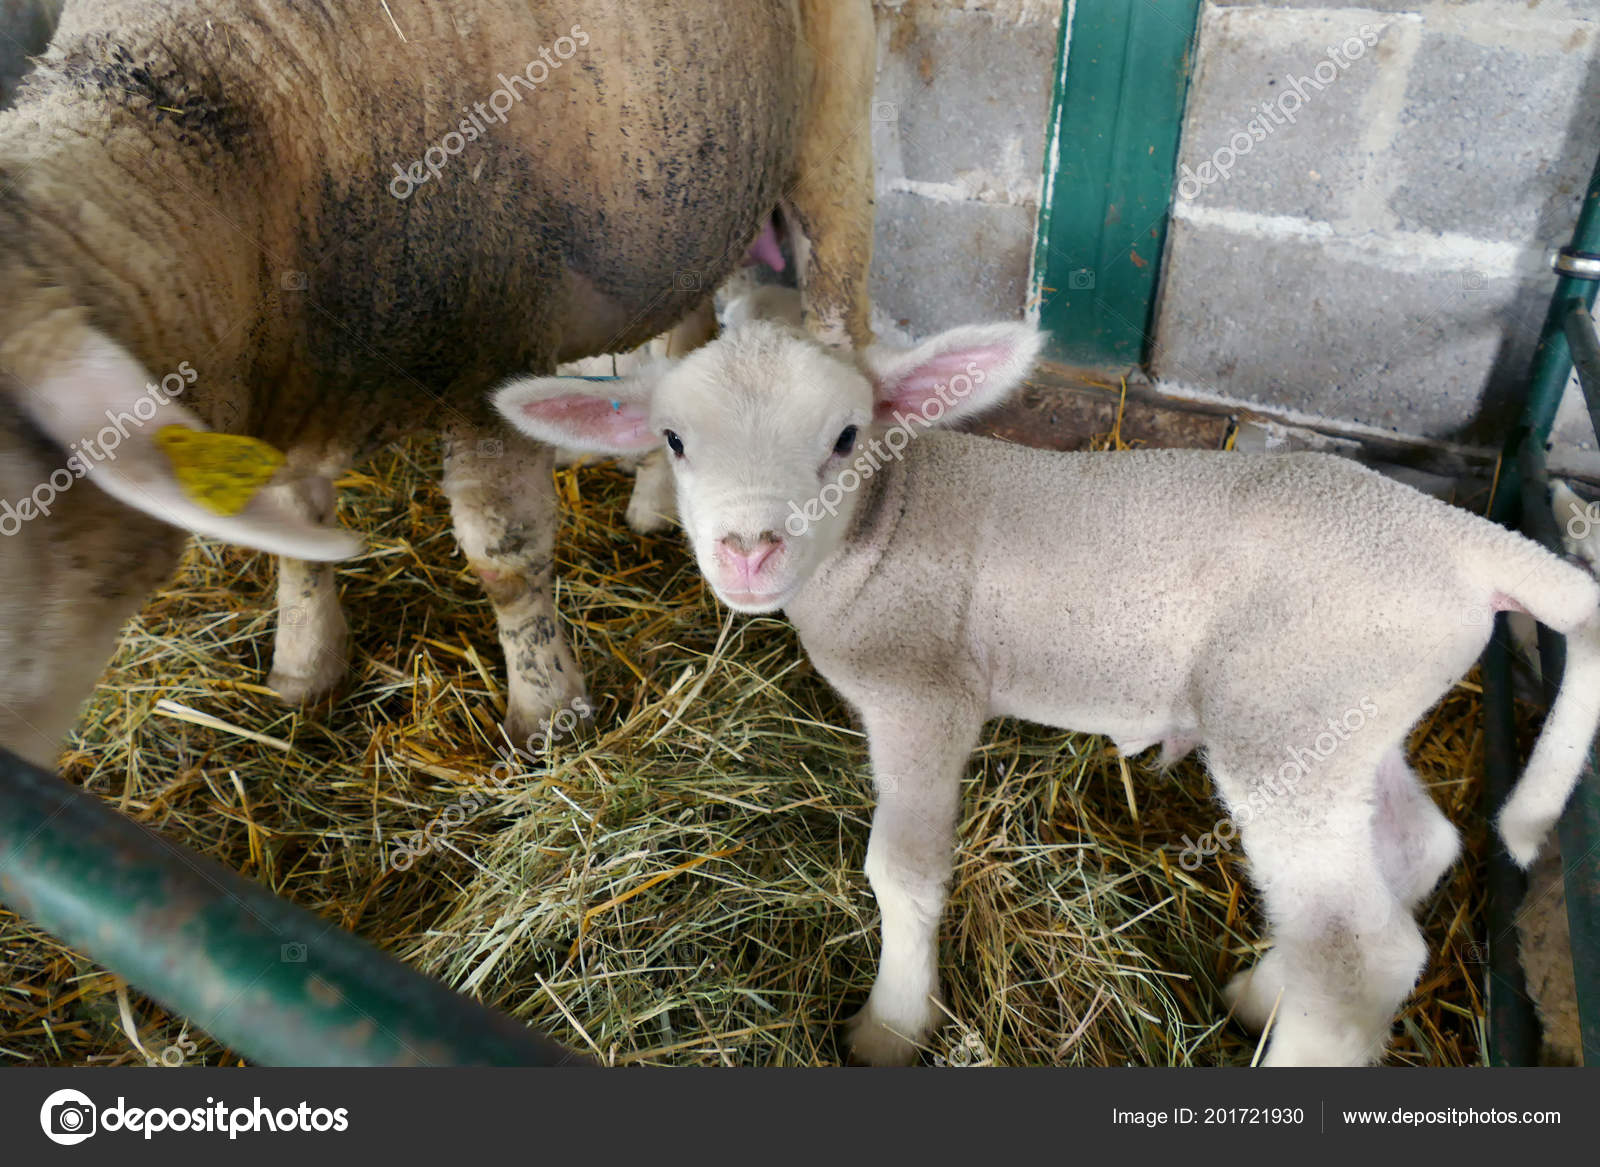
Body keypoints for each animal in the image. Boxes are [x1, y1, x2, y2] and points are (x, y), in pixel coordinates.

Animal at [0, 0, 875, 768]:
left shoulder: (495, 351)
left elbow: (505, 555)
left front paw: (547, 715)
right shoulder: (290, 386)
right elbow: (295, 526)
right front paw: (304, 666)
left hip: (831, 145)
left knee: (843, 328)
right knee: (683, 328)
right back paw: (657, 503)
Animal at [490, 318, 1600, 1067]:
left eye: (846, 437)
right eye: (673, 442)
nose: (751, 549)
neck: (887, 519)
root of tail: (1470, 540)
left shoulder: (924, 694)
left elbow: (902, 873)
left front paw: (889, 1027)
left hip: (1290, 716)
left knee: (1359, 956)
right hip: (1342, 709)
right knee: (1417, 850)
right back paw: (1259, 988)